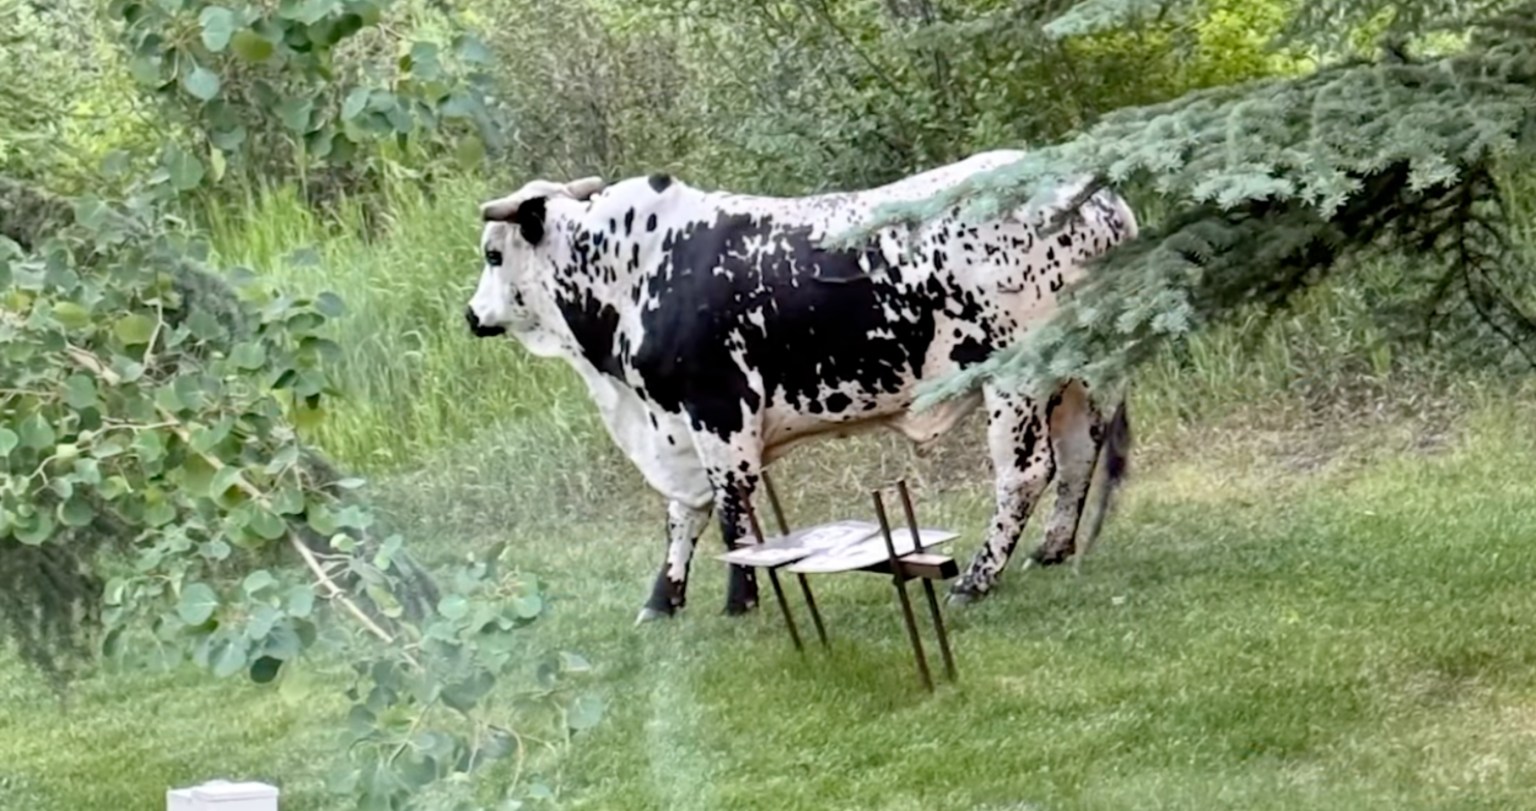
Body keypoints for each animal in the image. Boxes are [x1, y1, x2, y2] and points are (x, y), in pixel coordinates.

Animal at [463, 149, 1138, 623]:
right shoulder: (678, 427)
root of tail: (1099, 196)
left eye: (494, 254)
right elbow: (683, 514)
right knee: (1079, 453)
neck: (633, 270)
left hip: (1016, 378)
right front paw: (662, 600)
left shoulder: (718, 413)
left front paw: (740, 599)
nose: (471, 315)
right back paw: (1052, 548)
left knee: (1024, 474)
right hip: (1077, 374)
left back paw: (977, 580)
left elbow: (731, 512)